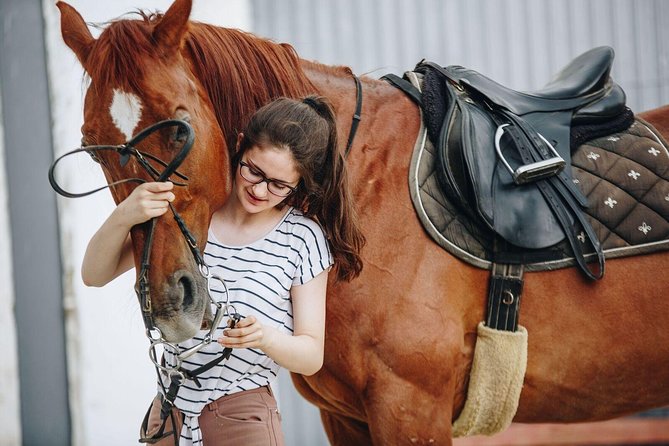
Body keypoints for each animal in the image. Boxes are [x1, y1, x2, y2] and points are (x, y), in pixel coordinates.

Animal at [56, 0, 669, 444]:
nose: (170, 301)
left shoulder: (410, 410)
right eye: (91, 144)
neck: (360, 200)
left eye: (179, 125)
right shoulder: (347, 417)